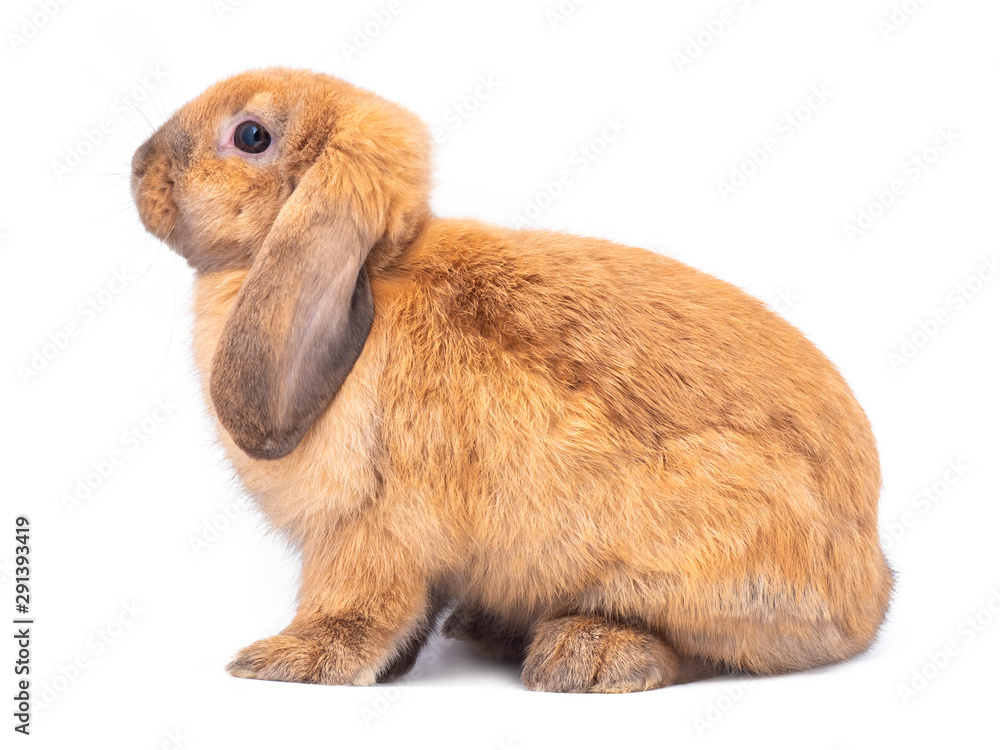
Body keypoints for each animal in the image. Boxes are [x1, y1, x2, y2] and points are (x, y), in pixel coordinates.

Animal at [131, 68, 893, 693]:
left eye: (250, 136)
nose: (138, 165)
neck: (373, 277)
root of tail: (869, 580)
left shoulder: (366, 531)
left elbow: (358, 609)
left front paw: (283, 661)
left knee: (712, 651)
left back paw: (588, 655)